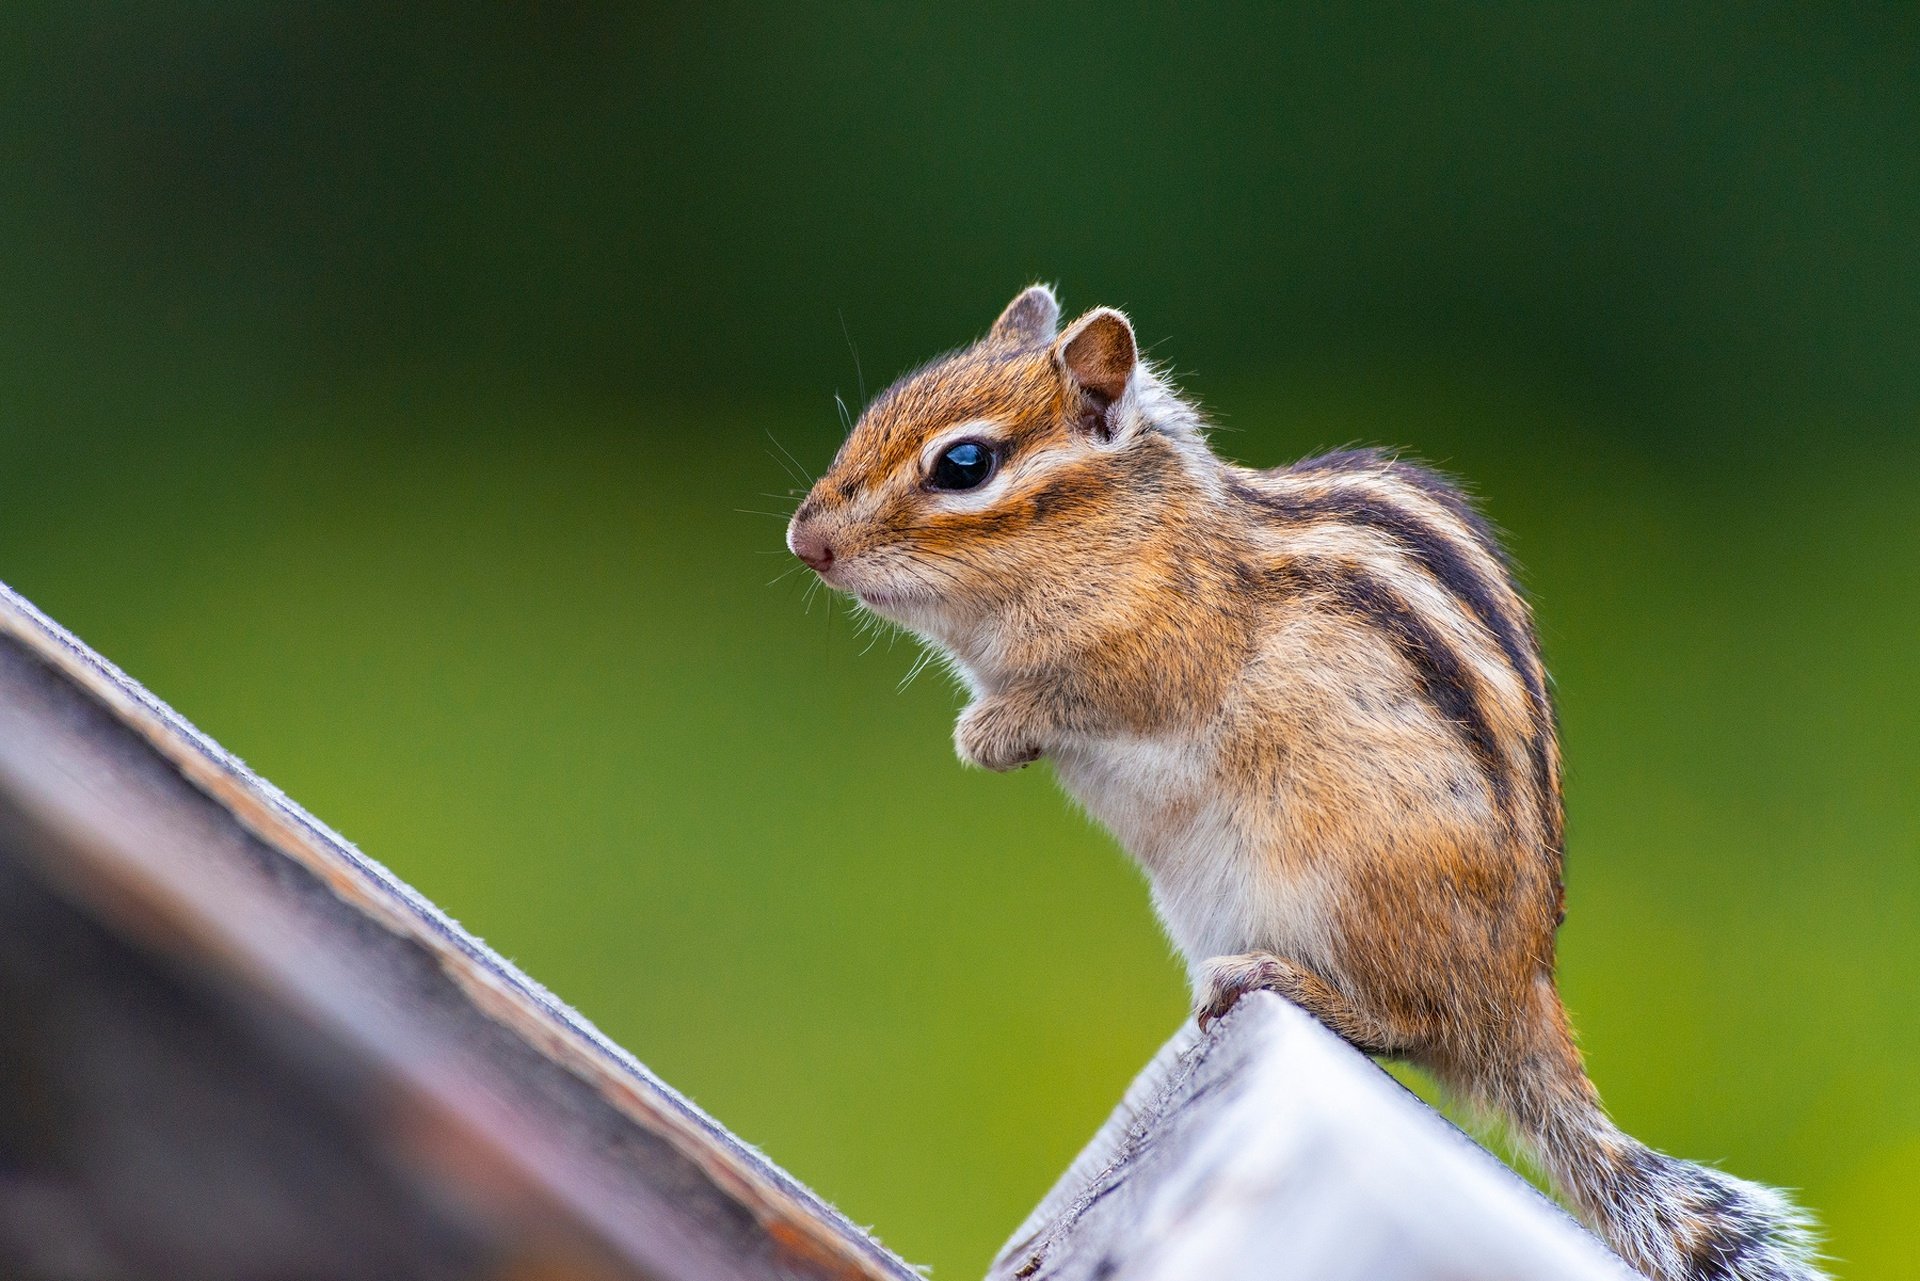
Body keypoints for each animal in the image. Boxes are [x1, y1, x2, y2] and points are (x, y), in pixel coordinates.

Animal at [786, 285, 1822, 1281]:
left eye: (964, 464)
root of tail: (1521, 992)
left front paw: (991, 731)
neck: (1136, 531)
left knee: (1408, 1022)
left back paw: (1274, 976)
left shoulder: (1164, 646)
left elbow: (1088, 692)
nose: (807, 541)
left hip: (1345, 880)